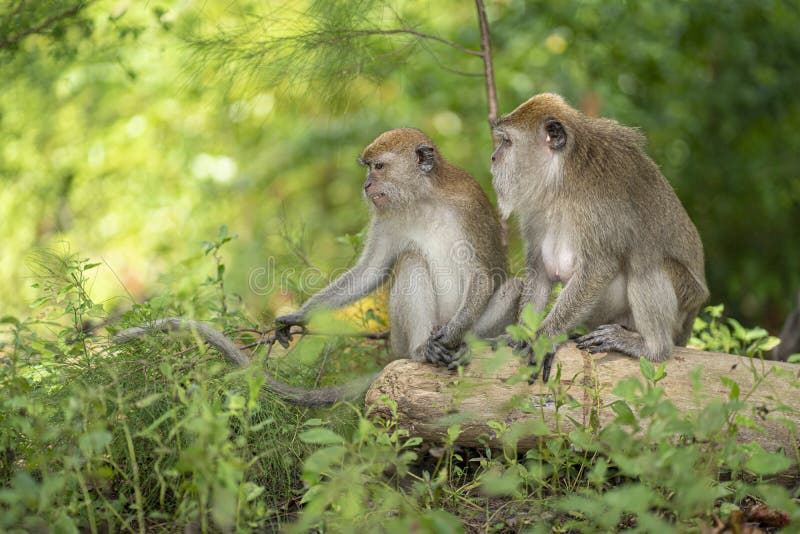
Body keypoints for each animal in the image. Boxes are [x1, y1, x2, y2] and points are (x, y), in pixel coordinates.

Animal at [276, 127, 522, 368]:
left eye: (378, 166)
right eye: (369, 167)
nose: (366, 185)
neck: (423, 199)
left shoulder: (468, 209)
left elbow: (480, 275)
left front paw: (450, 335)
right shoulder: (385, 218)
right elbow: (371, 271)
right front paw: (299, 315)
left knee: (514, 287)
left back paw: (463, 346)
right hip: (399, 340)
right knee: (411, 260)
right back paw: (422, 350)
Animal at [489, 93, 708, 373]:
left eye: (507, 142)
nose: (493, 158)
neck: (564, 179)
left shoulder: (599, 208)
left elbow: (597, 269)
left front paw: (545, 336)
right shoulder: (537, 207)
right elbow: (540, 269)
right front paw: (520, 333)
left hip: (684, 300)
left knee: (645, 260)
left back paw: (652, 347)